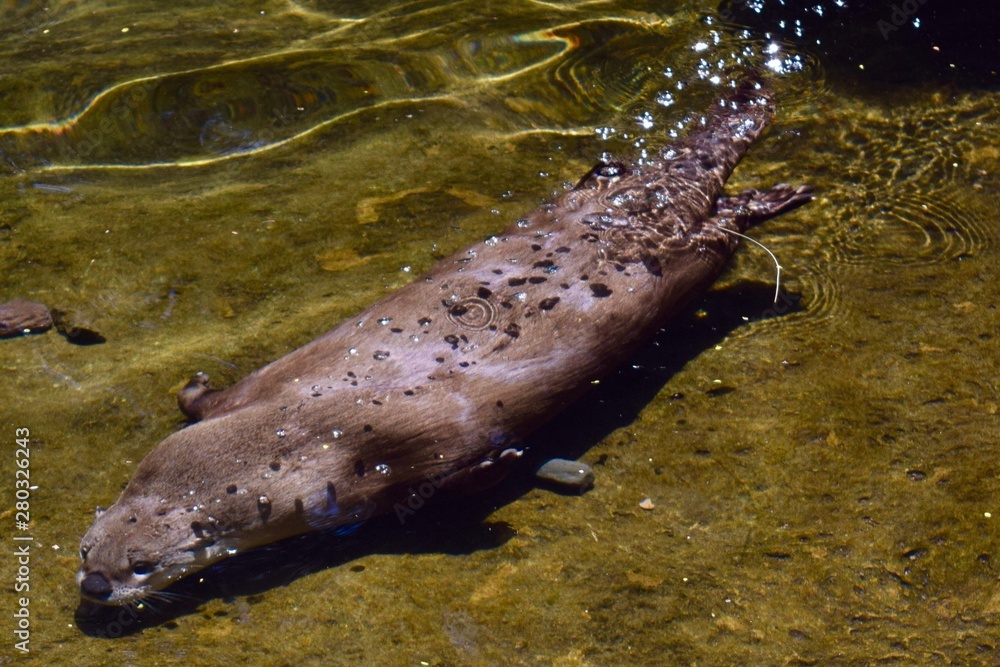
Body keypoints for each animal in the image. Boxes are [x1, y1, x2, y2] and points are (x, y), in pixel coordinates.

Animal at [78, 78, 812, 606]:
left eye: (144, 563)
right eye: (86, 548)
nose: (94, 584)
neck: (303, 427)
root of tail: (656, 195)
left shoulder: (394, 453)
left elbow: (432, 494)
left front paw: (503, 464)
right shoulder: (266, 390)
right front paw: (196, 386)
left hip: (694, 251)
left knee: (723, 218)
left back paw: (785, 193)